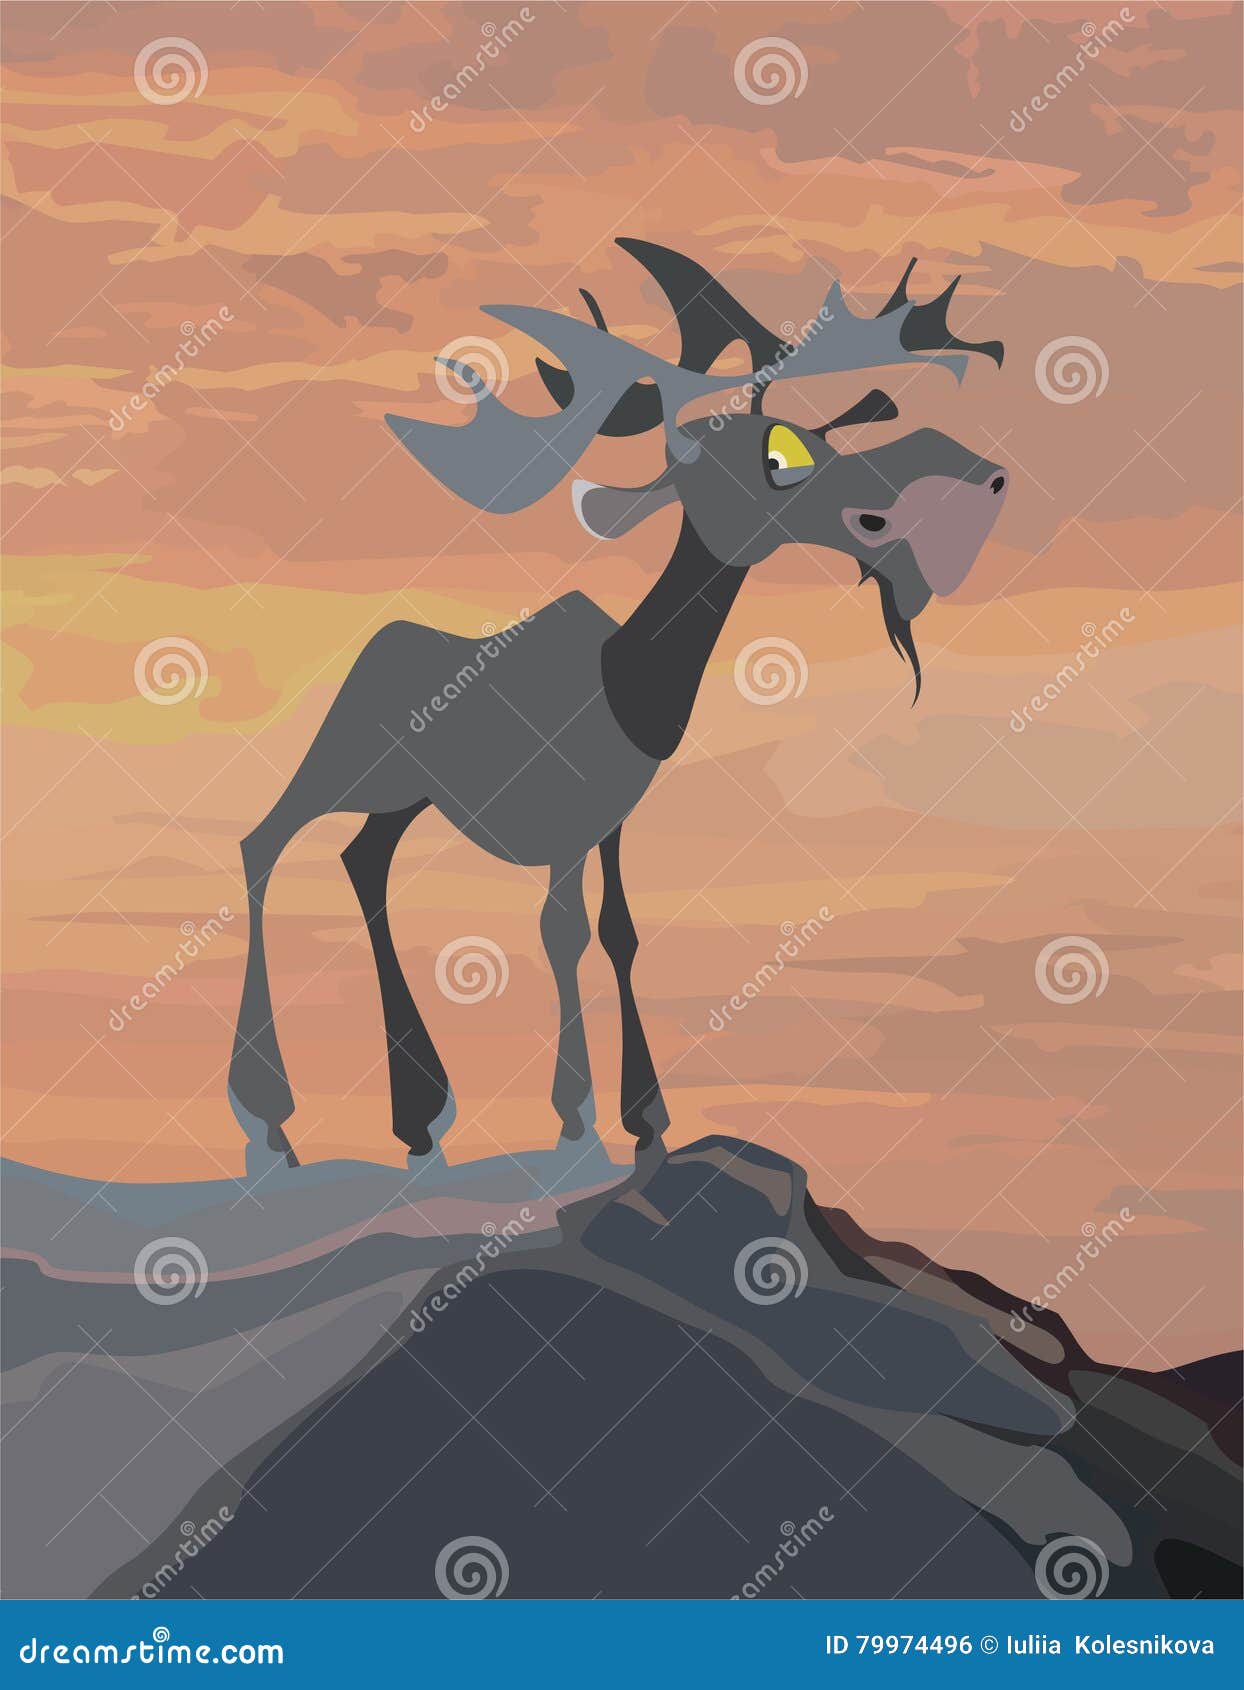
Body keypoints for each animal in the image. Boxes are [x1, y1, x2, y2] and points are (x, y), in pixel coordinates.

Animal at [227, 239, 1008, 1186]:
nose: (968, 482)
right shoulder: (564, 823)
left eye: (820, 436)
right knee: (264, 843)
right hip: (344, 759)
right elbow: (560, 932)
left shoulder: (611, 820)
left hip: (403, 796)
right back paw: (269, 1121)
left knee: (362, 860)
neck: (631, 689)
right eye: (779, 458)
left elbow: (619, 933)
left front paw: (645, 1120)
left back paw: (419, 1118)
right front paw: (578, 1121)